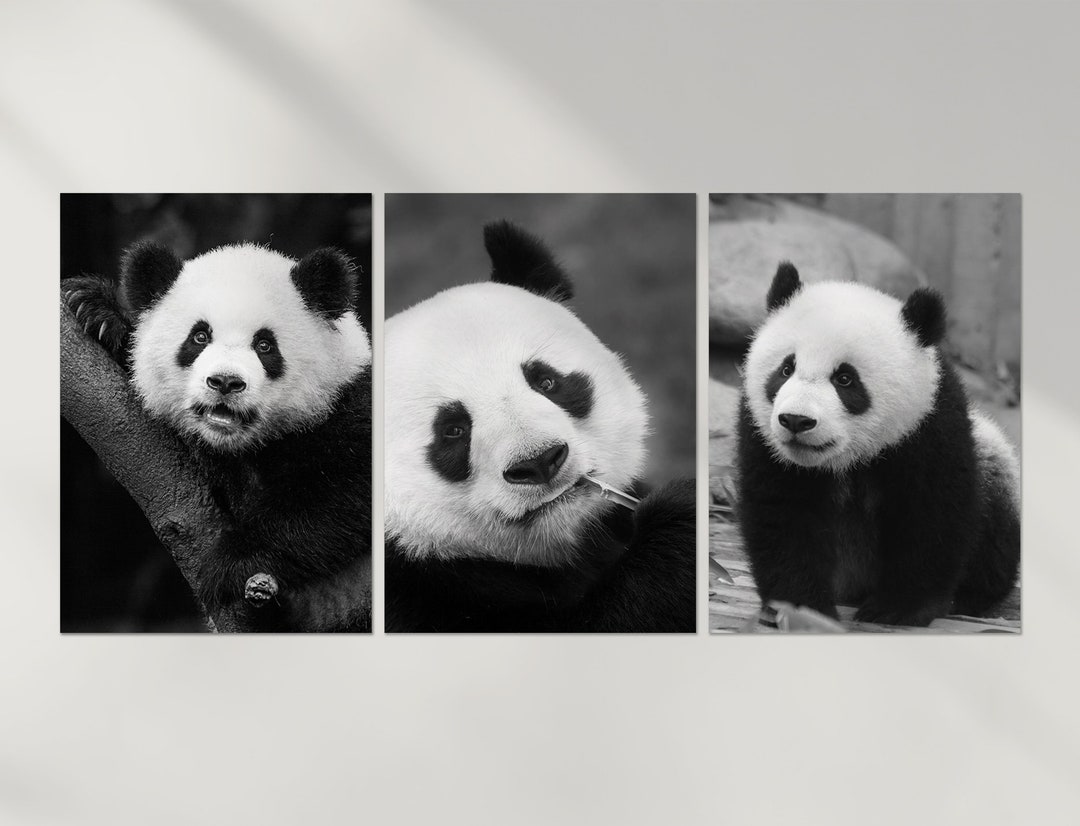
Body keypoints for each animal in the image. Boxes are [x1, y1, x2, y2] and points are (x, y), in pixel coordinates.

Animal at [62, 242, 373, 631]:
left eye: (265, 345)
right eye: (199, 336)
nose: (225, 382)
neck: (241, 444)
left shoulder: (351, 409)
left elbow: (340, 496)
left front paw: (229, 565)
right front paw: (96, 312)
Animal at [737, 262, 1021, 627]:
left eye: (845, 379)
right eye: (786, 369)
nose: (796, 421)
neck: (847, 460)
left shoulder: (928, 424)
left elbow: (930, 513)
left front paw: (898, 608)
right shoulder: (765, 441)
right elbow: (783, 515)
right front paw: (800, 609)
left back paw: (969, 597)